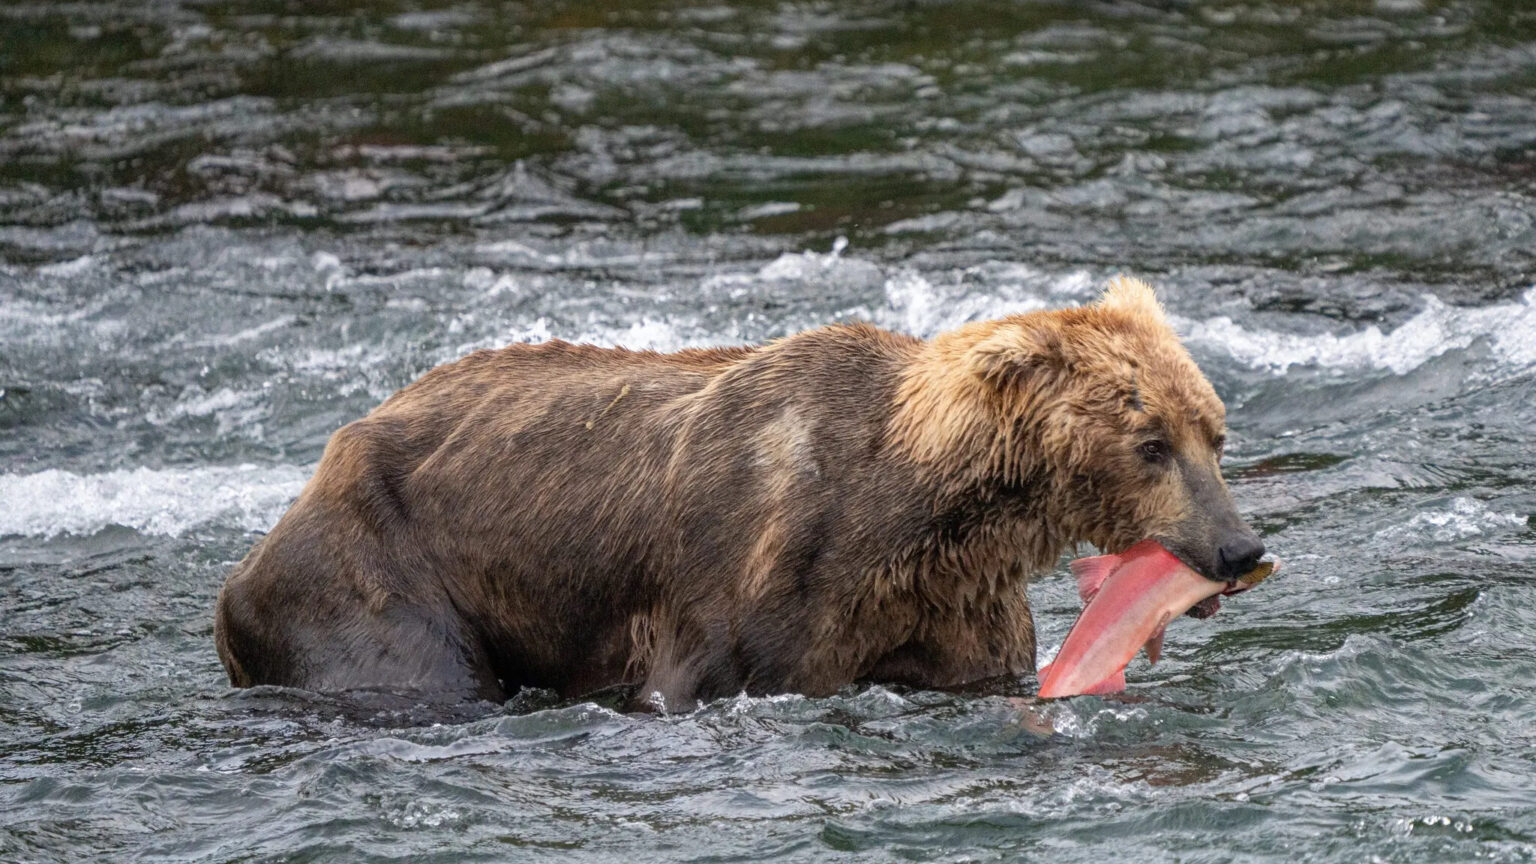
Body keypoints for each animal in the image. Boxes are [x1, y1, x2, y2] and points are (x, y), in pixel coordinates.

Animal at [214, 276, 1264, 709]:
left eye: (1214, 432)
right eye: (1149, 443)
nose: (1239, 549)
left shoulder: (949, 605)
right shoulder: (753, 590)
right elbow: (704, 675)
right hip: (373, 570)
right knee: (416, 669)